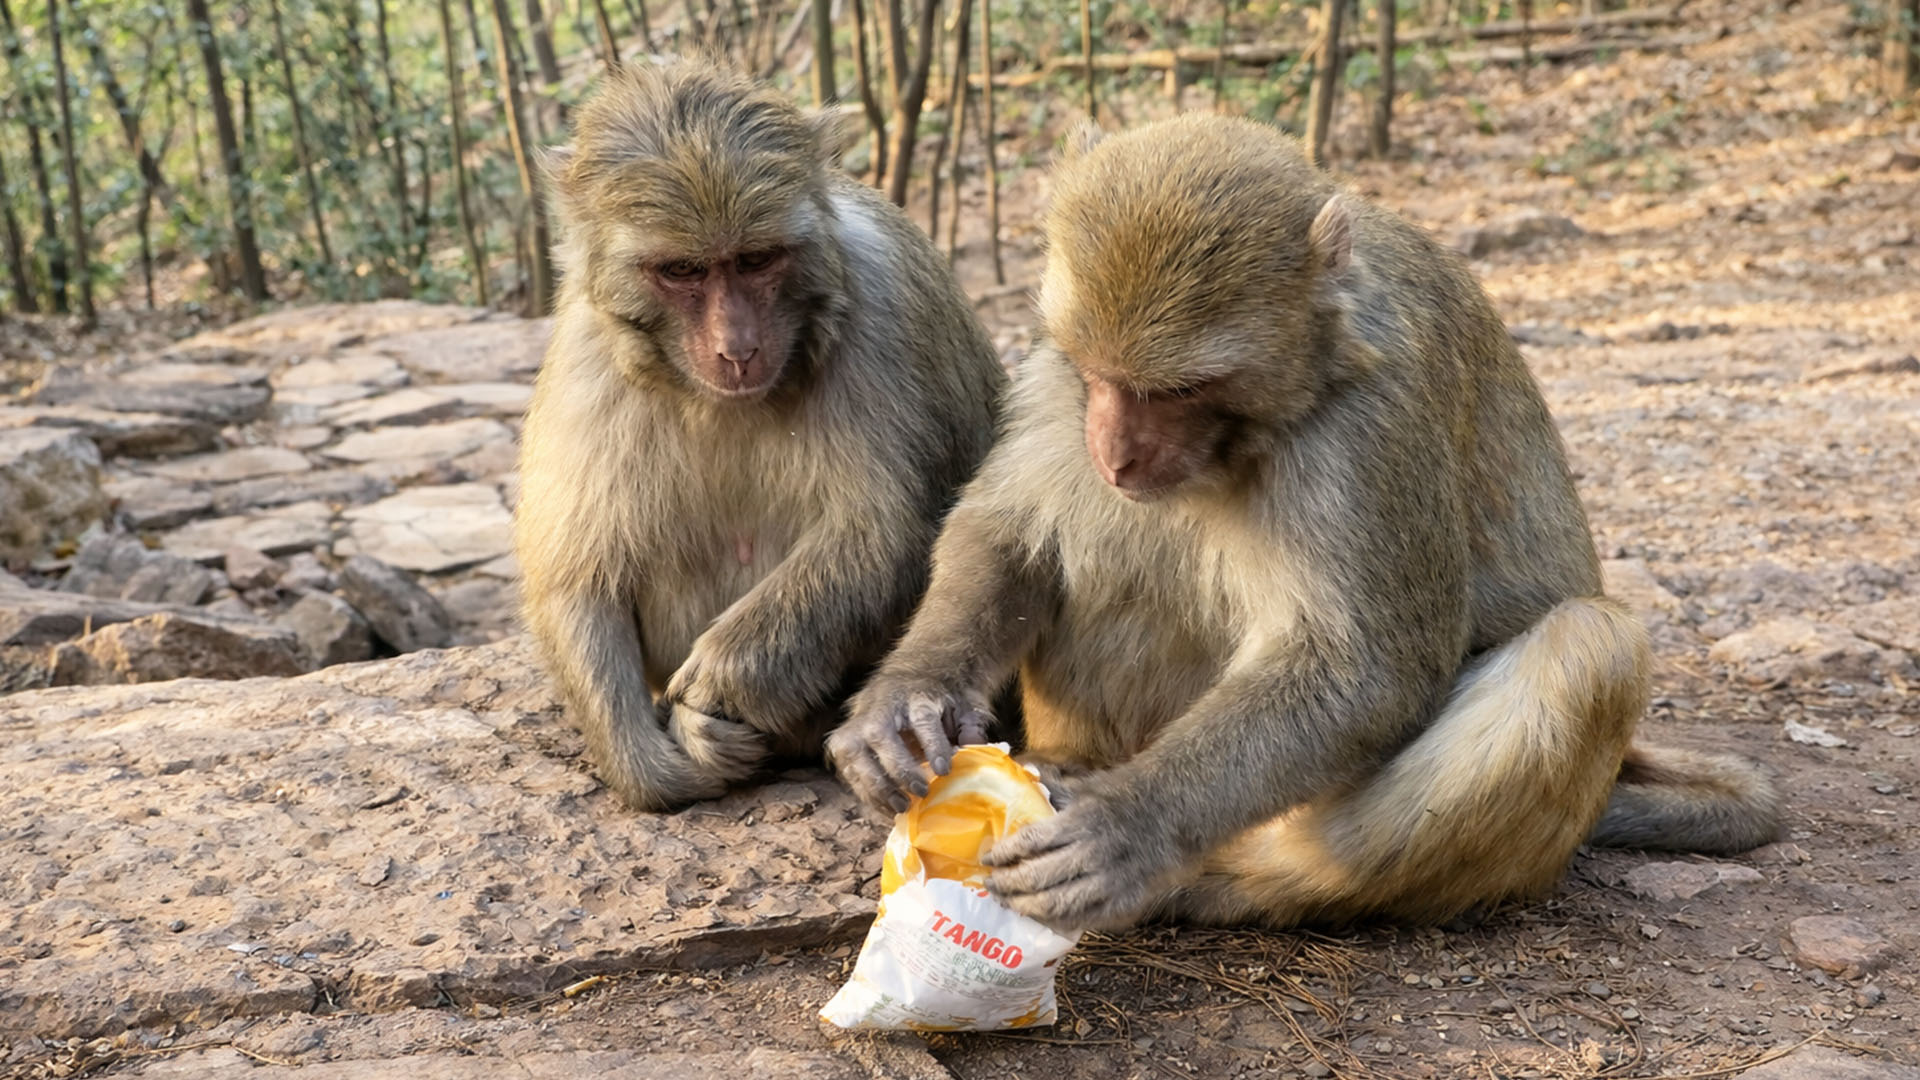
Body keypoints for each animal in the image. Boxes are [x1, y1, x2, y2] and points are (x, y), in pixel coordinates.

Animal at [515, 61, 1005, 812]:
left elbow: (885, 535)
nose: (737, 348)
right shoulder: (585, 351)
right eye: (683, 271)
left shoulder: (880, 309)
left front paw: (719, 688)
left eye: (755, 260)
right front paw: (649, 766)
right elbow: (577, 574)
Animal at [826, 114, 1779, 931]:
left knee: (1590, 648)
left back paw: (1238, 881)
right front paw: (905, 703)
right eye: (1102, 376)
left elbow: (1363, 670)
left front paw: (1130, 830)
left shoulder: (1370, 429)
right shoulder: (1052, 368)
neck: (1314, 358)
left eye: (1178, 390)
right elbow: (1011, 531)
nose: (1116, 453)